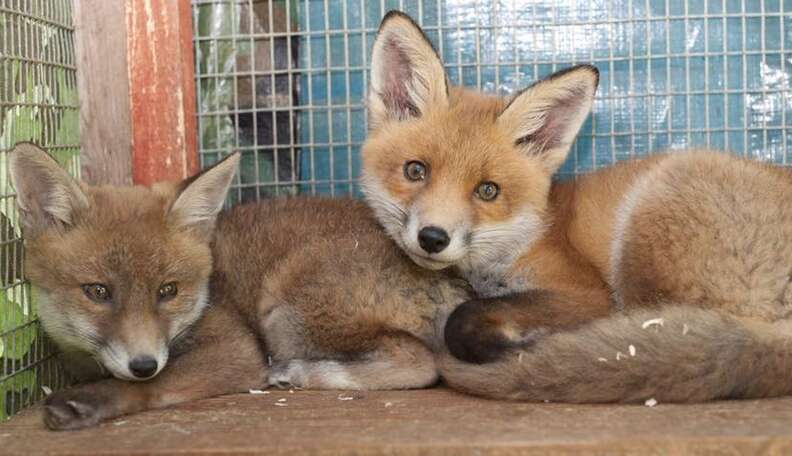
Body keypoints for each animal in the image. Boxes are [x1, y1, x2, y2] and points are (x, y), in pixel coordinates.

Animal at [10, 142, 471, 430]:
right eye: (98, 292)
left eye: (167, 291)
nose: (143, 363)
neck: (208, 292)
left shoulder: (235, 347)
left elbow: (157, 384)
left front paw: (91, 400)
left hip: (284, 310)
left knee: (420, 363)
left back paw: (301, 373)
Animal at [362, 11, 792, 402]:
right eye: (415, 170)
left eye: (487, 191)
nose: (433, 238)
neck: (523, 237)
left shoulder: (587, 293)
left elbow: (461, 317)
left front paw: (519, 345)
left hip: (651, 217)